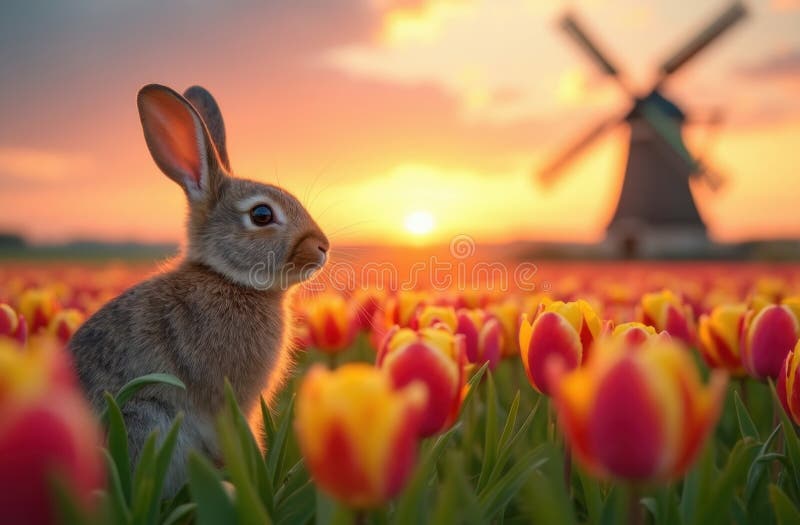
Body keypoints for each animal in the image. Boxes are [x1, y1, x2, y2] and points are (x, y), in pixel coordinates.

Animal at [68, 84, 329, 495]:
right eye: (261, 215)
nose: (323, 248)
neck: (227, 278)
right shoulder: (226, 401)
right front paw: (247, 483)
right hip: (147, 416)